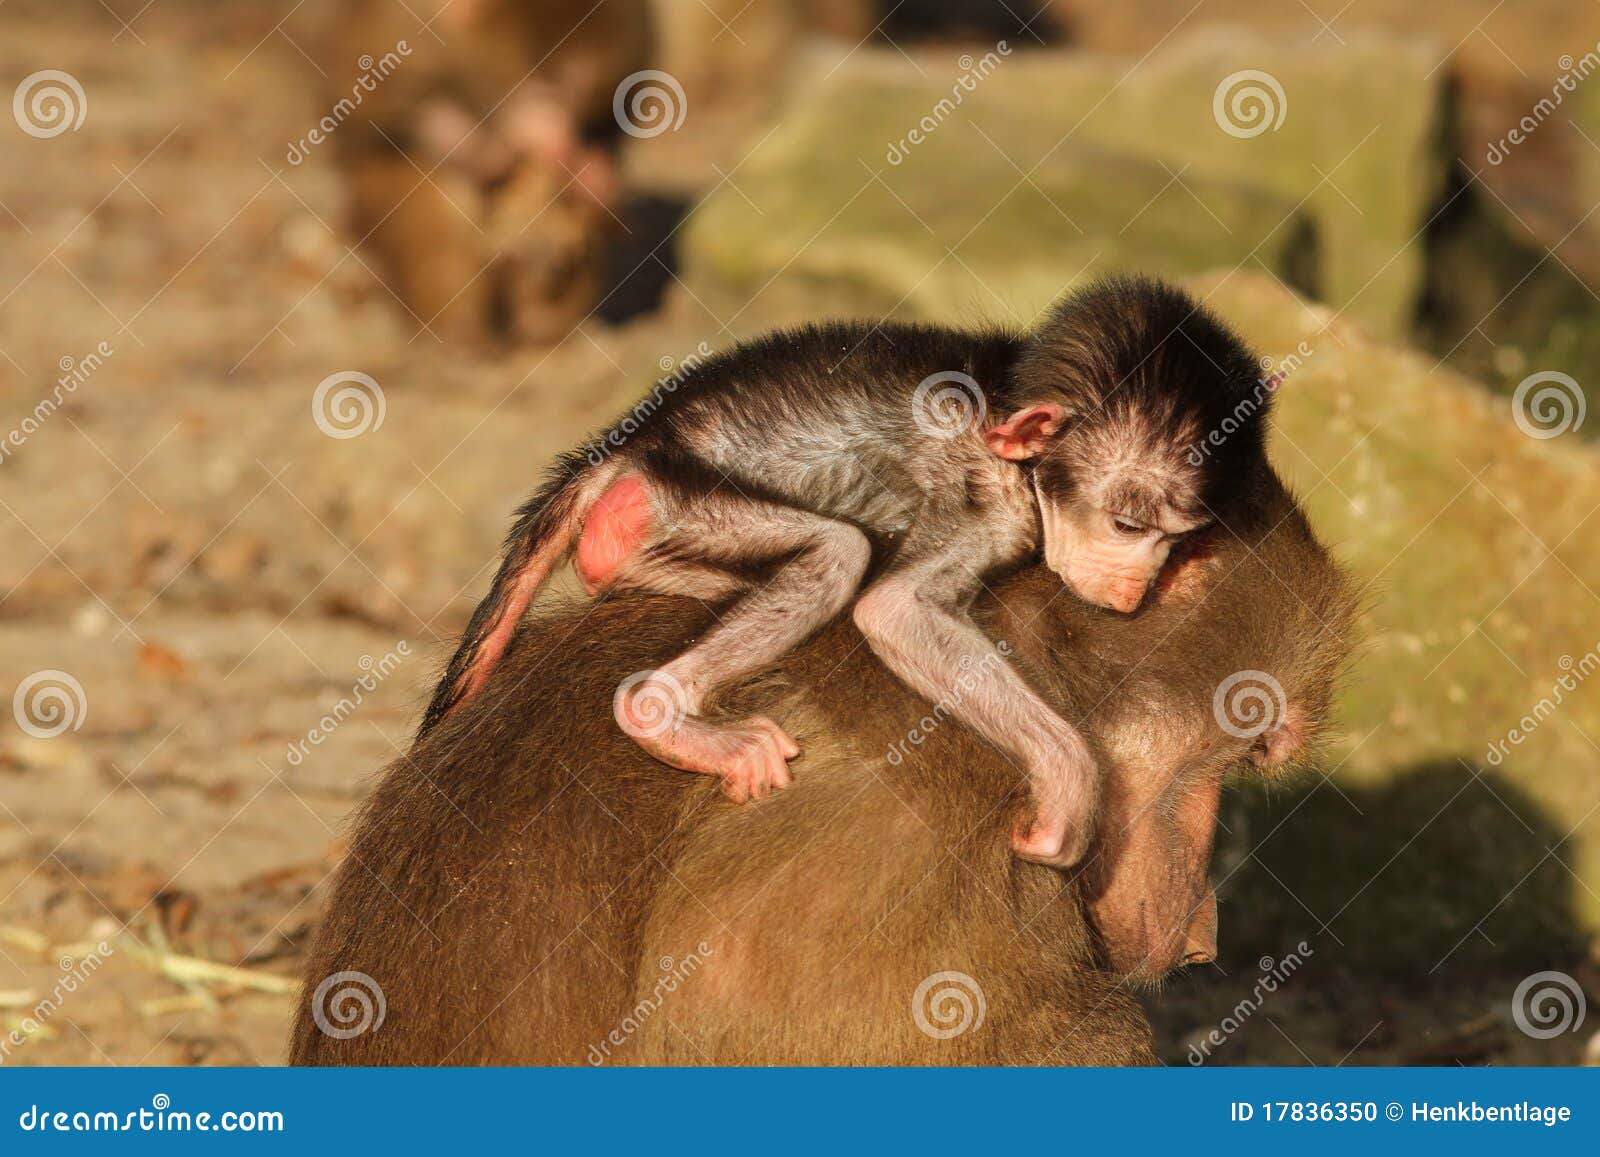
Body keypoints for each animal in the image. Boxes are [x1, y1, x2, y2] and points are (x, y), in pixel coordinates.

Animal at [416, 276, 1277, 869]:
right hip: (676, 494)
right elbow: (895, 610)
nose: (1134, 588)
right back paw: (658, 713)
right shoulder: (987, 508)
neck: (1009, 415)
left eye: (1171, 538)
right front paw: (1069, 780)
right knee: (838, 554)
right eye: (1129, 525)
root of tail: (628, 441)